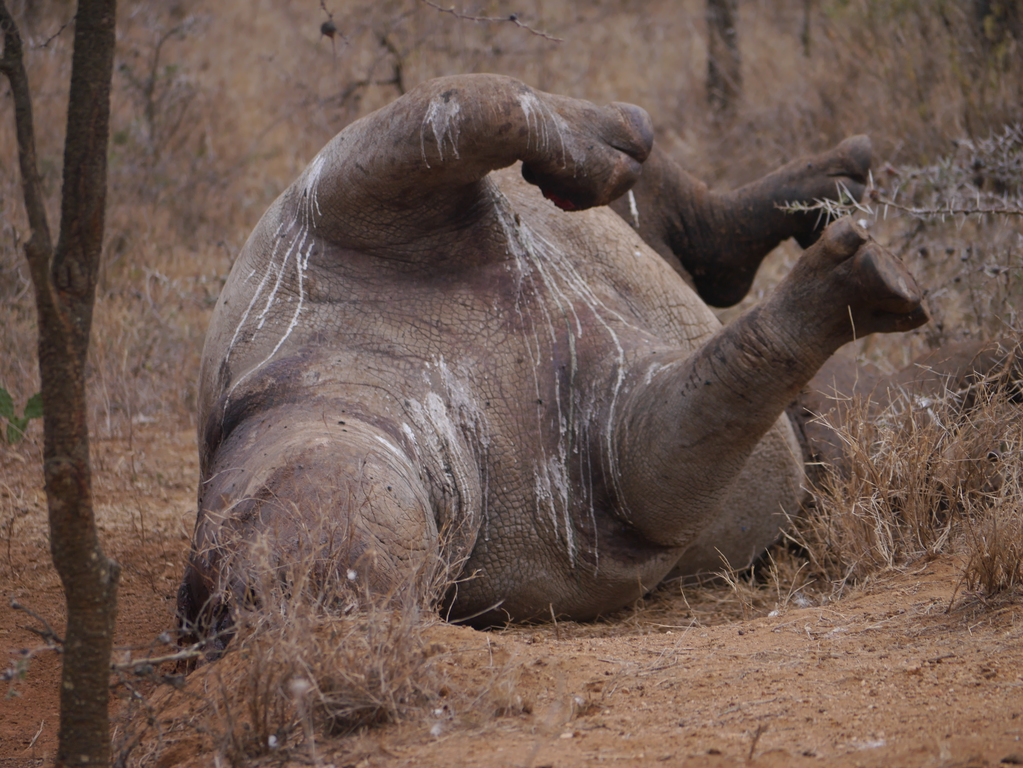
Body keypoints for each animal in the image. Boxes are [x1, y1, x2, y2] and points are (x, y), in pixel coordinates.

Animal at [178, 74, 929, 639]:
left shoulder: (327, 212)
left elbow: (469, 109)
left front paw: (604, 142)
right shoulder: (602, 493)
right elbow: (699, 418)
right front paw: (858, 291)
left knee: (662, 218)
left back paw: (830, 176)